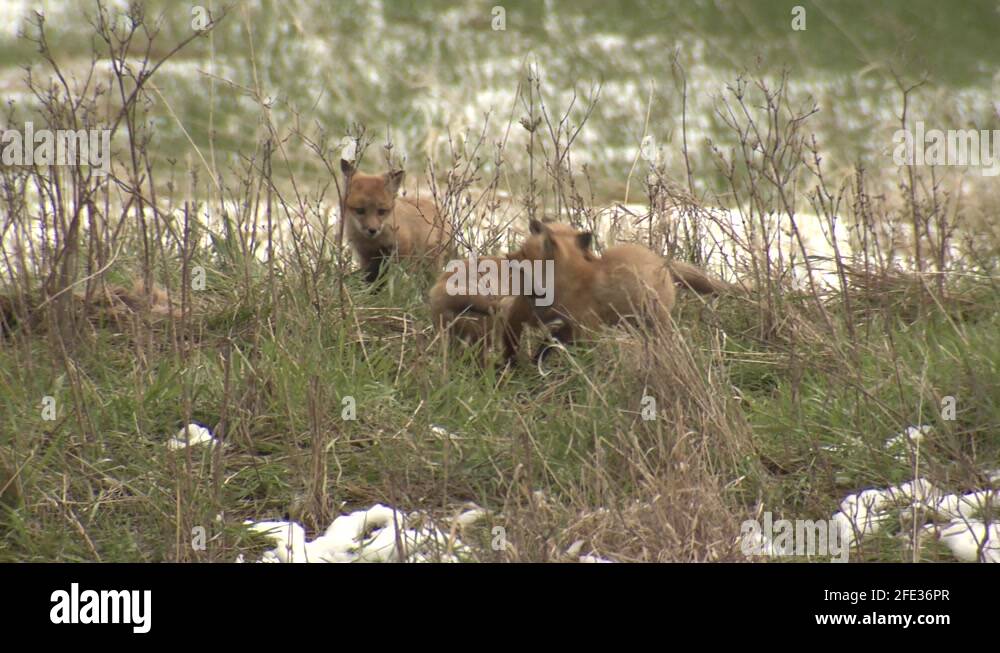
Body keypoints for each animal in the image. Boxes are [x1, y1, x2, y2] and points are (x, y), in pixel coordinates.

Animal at [501, 219, 732, 364]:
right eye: (521, 248)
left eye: (524, 253)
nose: (506, 257)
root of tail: (663, 263)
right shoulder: (532, 317)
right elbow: (530, 342)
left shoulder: (585, 327)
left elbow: (559, 344)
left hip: (655, 320)